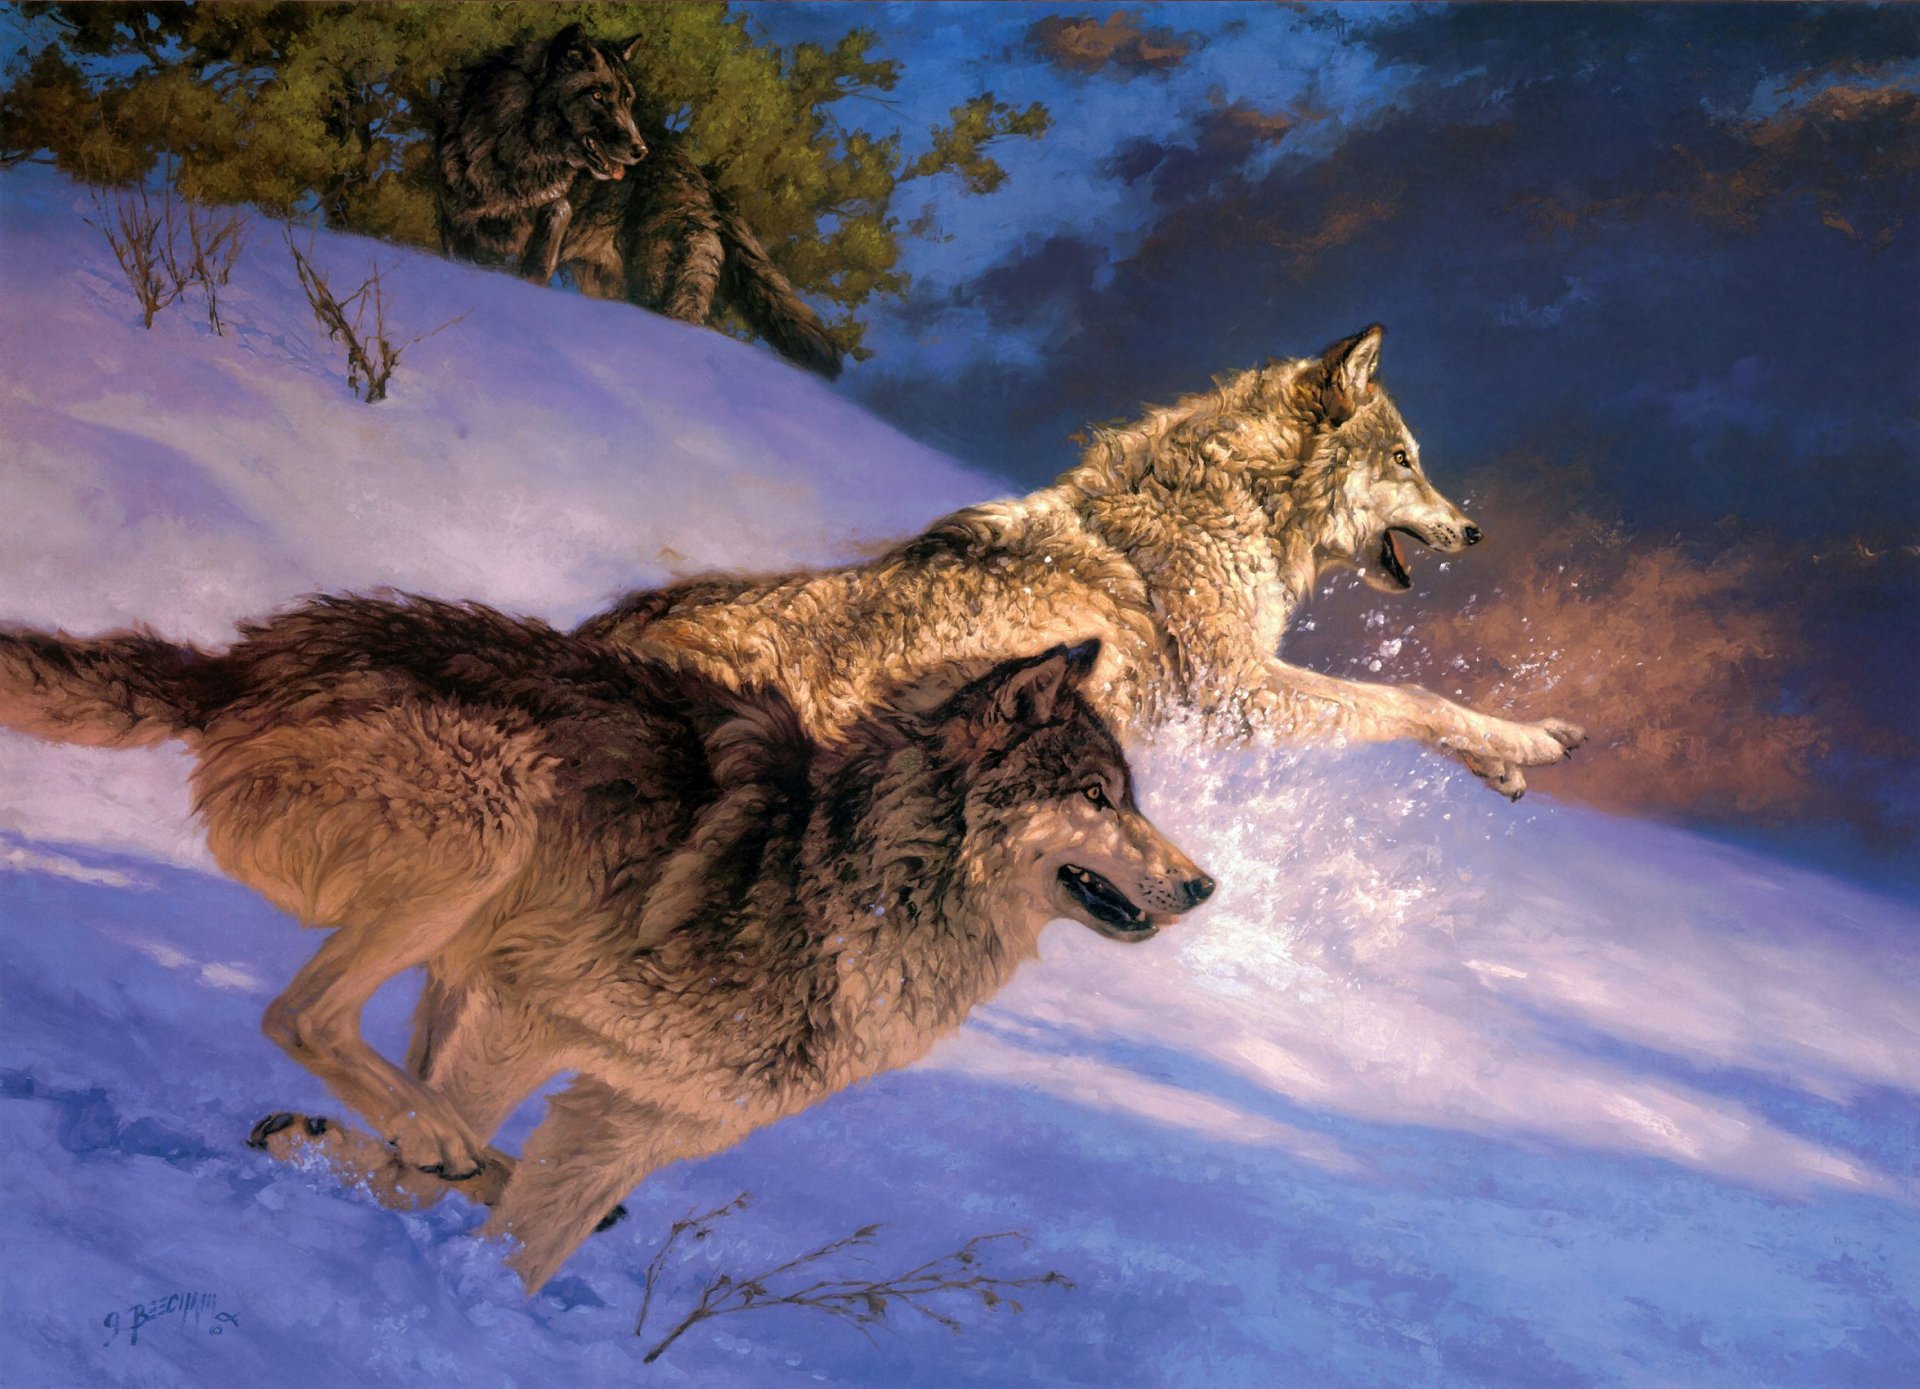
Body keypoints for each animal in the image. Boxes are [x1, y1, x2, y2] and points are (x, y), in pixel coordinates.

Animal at [0, 601, 1208, 1291]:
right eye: (1098, 797)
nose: (1204, 886)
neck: (847, 880)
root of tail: (241, 663)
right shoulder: (526, 1010)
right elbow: (424, 1186)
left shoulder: (633, 1121)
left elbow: (531, 1246)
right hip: (492, 827)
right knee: (306, 1018)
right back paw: (428, 1138)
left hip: (457, 943)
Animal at [582, 325, 1587, 799]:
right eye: (1407, 459)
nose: (1475, 532)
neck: (1235, 509)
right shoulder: (1235, 696)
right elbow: (1409, 698)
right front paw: (1531, 740)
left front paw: (1507, 762)